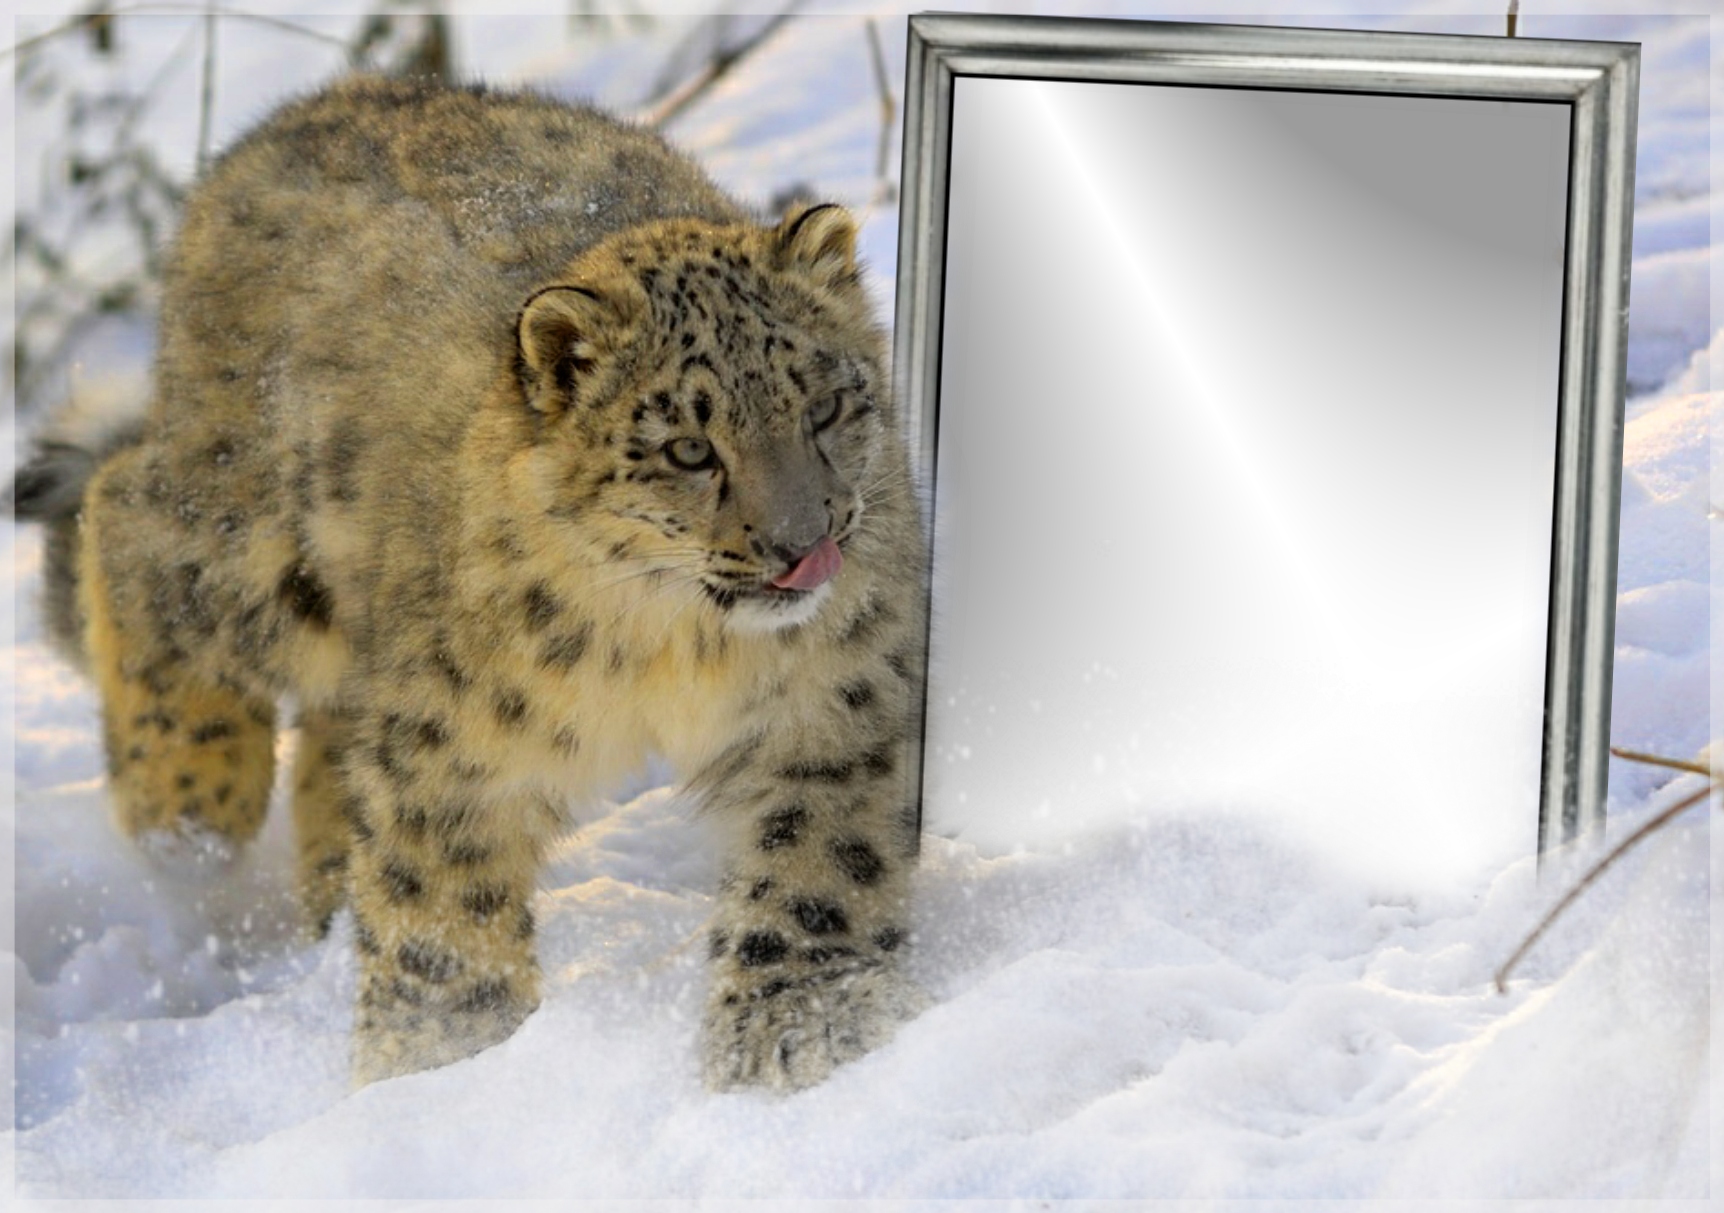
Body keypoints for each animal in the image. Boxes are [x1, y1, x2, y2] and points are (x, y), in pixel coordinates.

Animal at [10, 75, 930, 1092]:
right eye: (690, 448)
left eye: (827, 406)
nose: (805, 546)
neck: (676, 642)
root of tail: (311, 105)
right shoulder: (452, 742)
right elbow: (439, 909)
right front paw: (439, 1058)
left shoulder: (829, 697)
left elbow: (816, 859)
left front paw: (800, 1023)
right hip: (250, 560)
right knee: (127, 518)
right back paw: (186, 816)